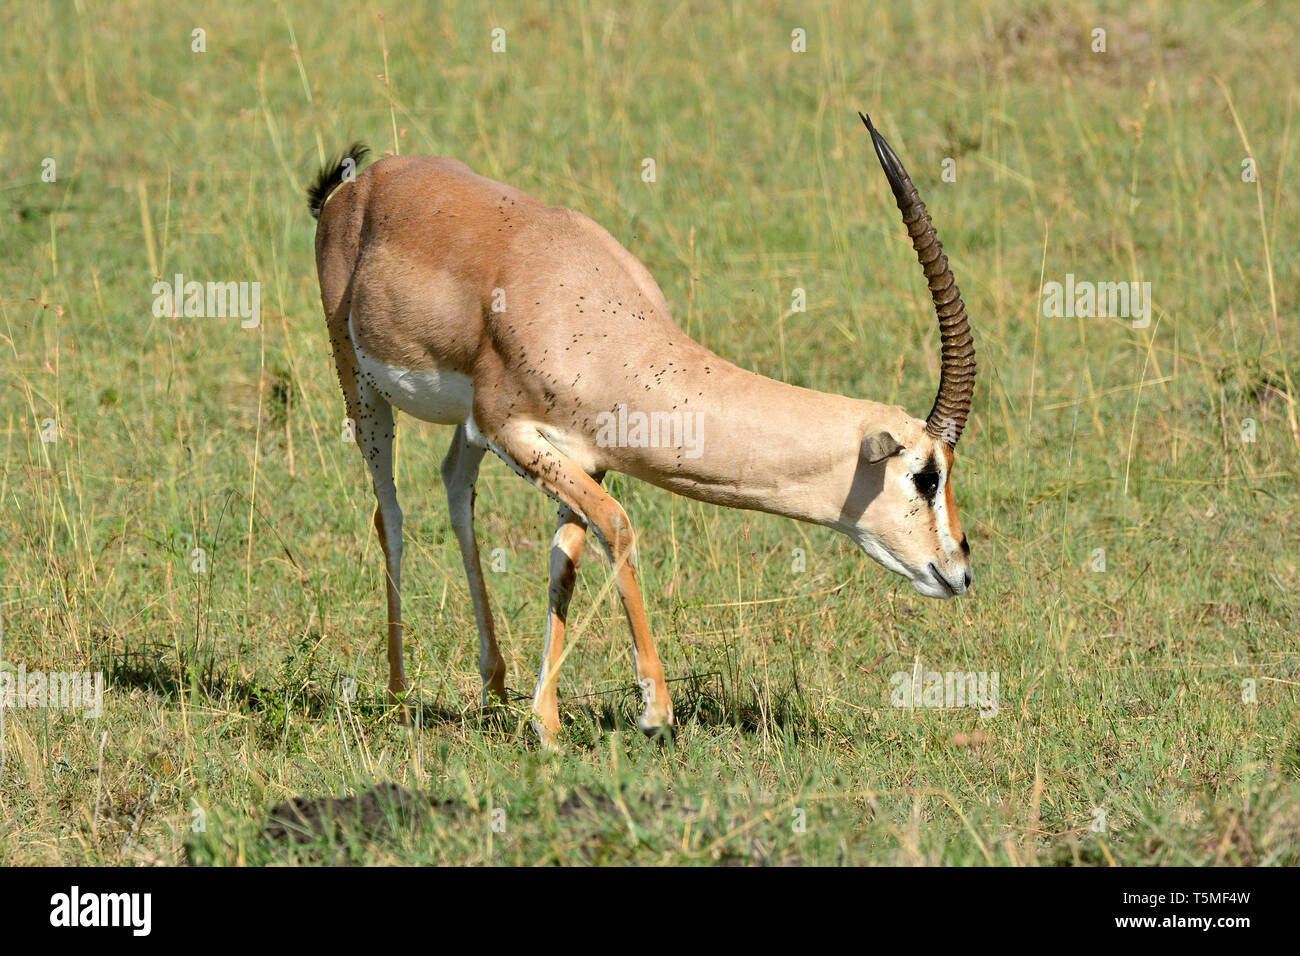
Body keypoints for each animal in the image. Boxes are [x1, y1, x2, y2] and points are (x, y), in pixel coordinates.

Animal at [308, 113, 975, 746]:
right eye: (925, 475)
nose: (960, 572)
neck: (600, 324)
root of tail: (360, 183)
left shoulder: (584, 456)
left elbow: (565, 562)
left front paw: (546, 723)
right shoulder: (510, 430)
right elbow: (619, 526)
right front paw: (655, 712)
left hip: (465, 431)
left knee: (453, 487)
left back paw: (494, 687)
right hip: (362, 388)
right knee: (390, 514)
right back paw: (398, 696)